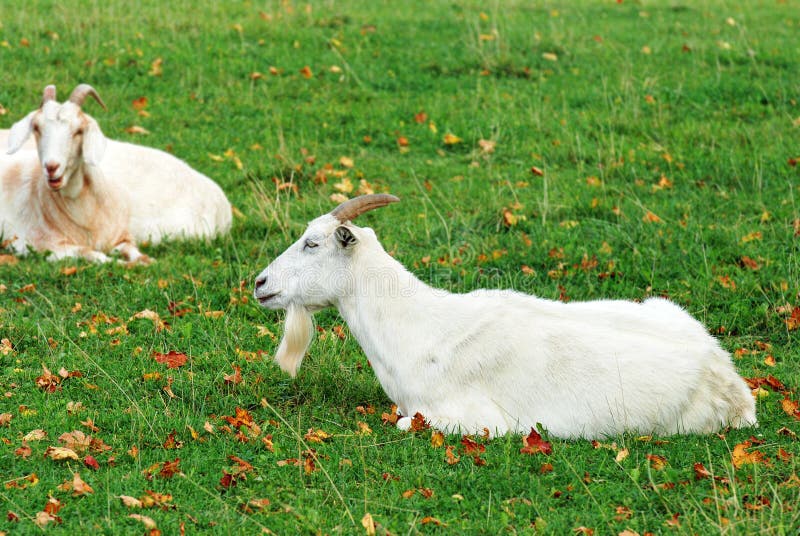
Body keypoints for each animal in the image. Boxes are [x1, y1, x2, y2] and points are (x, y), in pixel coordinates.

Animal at [253, 194, 758, 439]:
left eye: (312, 243)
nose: (259, 283)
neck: (419, 326)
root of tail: (733, 387)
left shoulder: (478, 420)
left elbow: (403, 422)